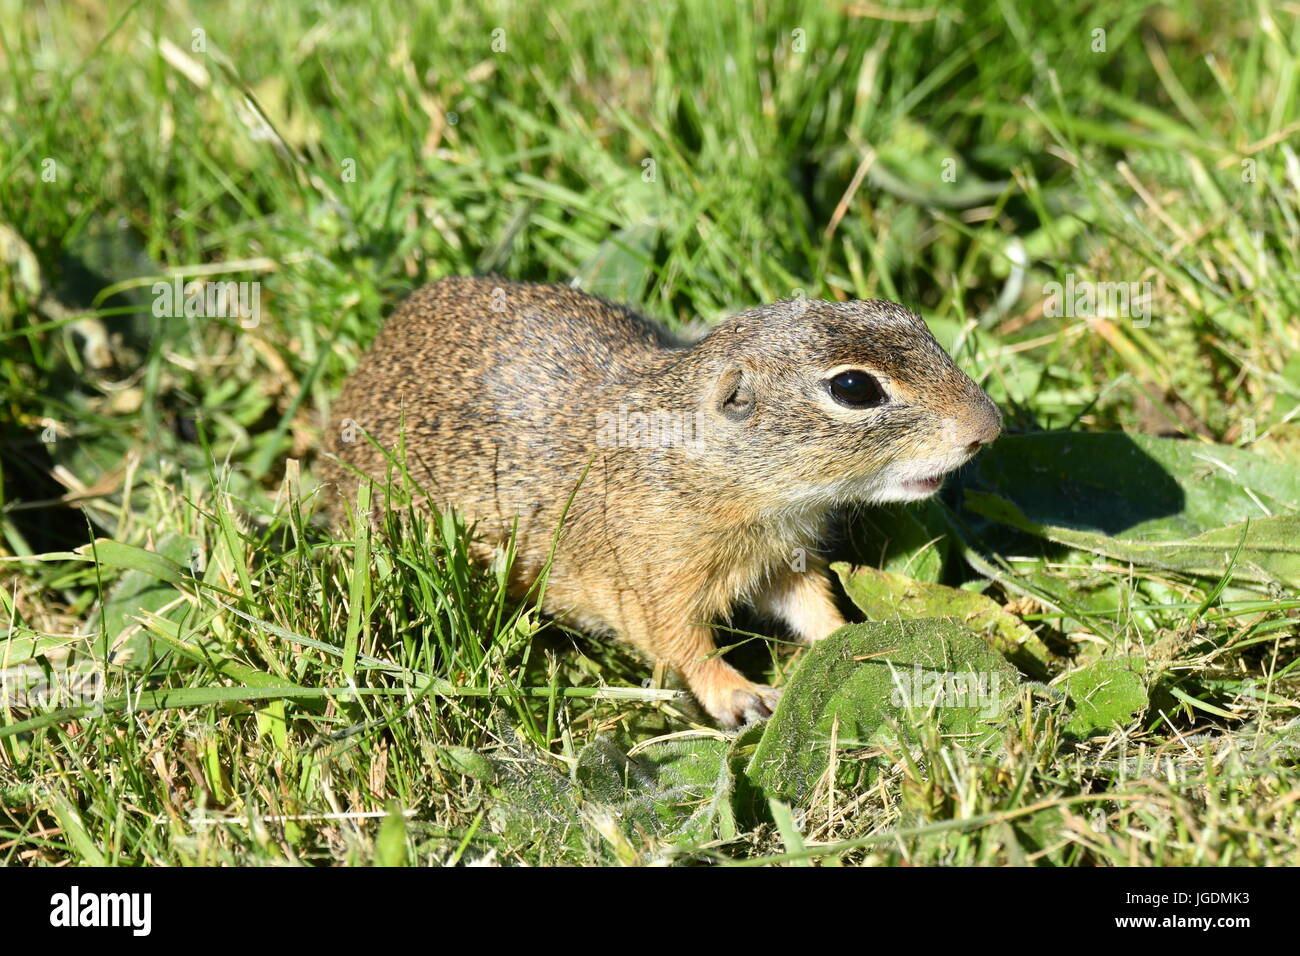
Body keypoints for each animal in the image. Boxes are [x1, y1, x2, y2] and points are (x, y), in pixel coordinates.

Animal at [320, 277, 1001, 727]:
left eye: (906, 315)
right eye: (854, 387)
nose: (988, 427)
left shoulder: (783, 563)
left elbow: (814, 607)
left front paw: (856, 638)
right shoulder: (652, 586)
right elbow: (683, 645)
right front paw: (745, 701)